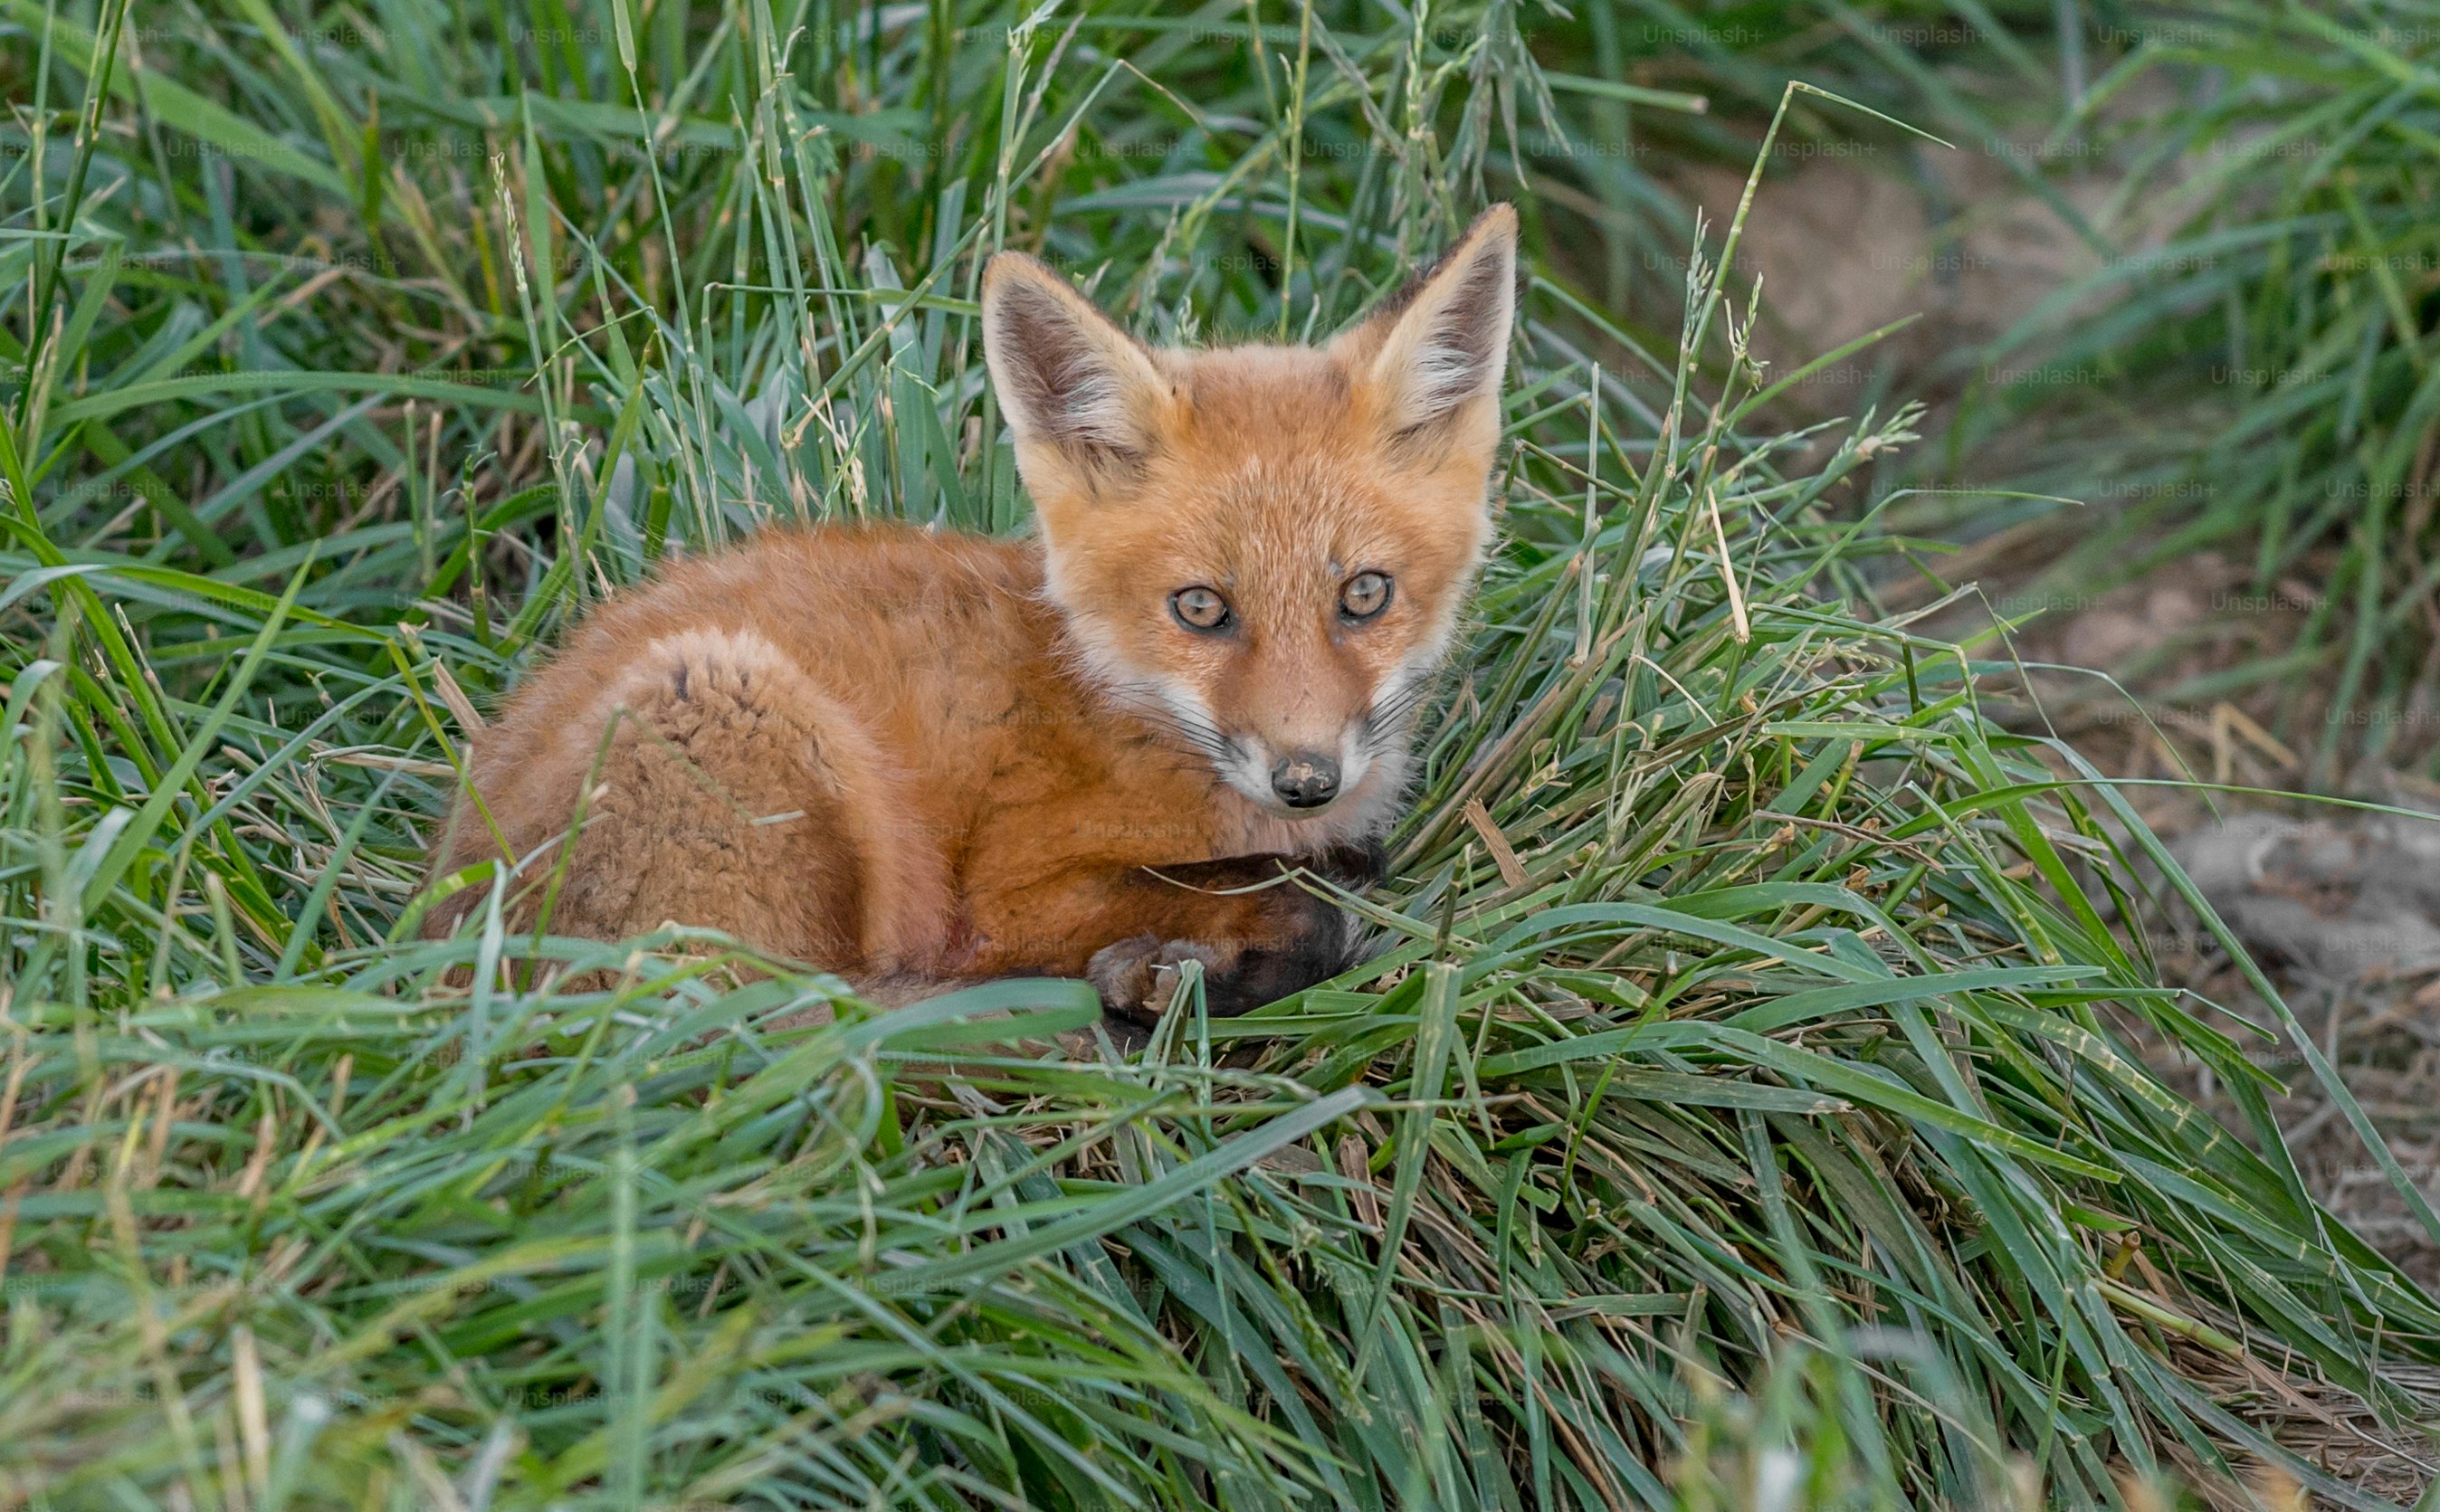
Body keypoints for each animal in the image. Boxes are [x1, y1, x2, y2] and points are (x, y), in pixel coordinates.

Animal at [423, 205, 1519, 1020]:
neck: (1121, 701)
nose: (1305, 779)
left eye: (1363, 594)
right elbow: (1294, 902)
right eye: (1202, 607)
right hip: (751, 718)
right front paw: (1183, 965)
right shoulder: (1008, 896)